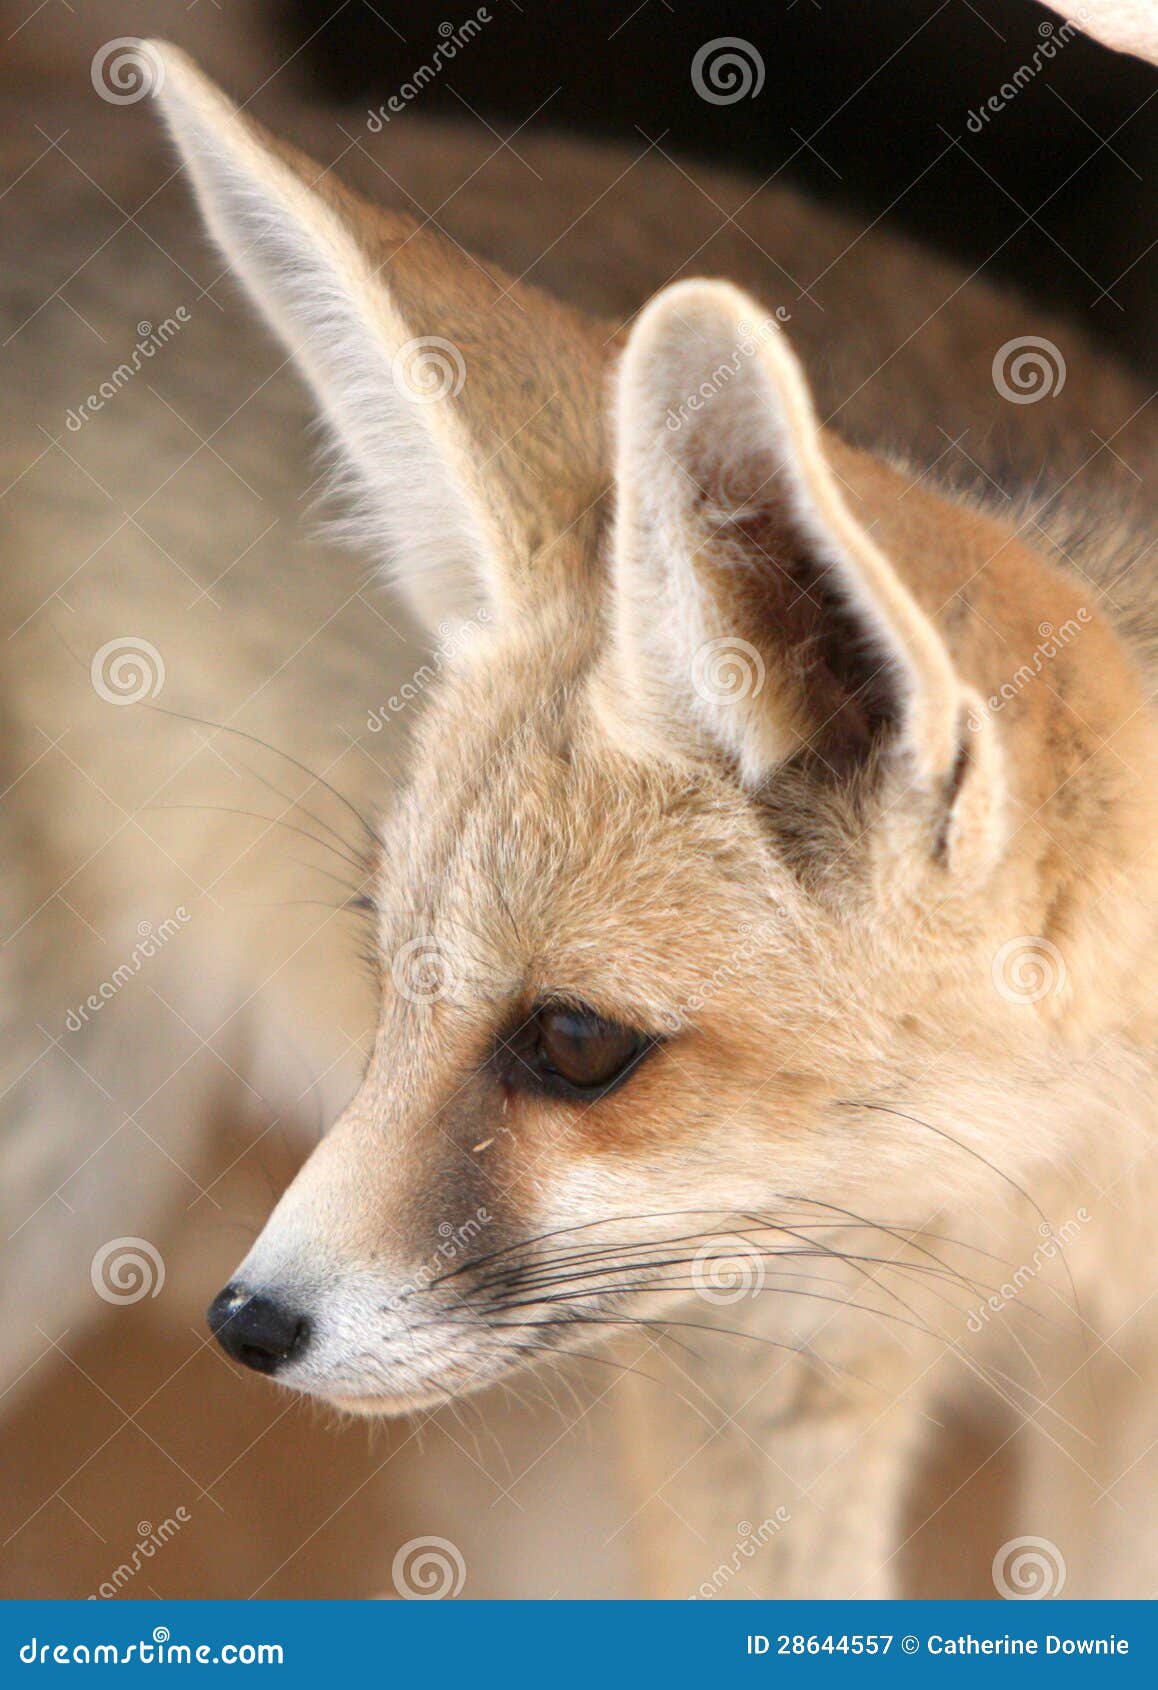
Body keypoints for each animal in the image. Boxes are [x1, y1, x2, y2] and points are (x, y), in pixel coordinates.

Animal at [3, 24, 1156, 1597]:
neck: (1067, 1193)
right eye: (390, 965)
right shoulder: (757, 1368)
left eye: (573, 1042)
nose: (247, 1324)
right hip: (67, 1172)